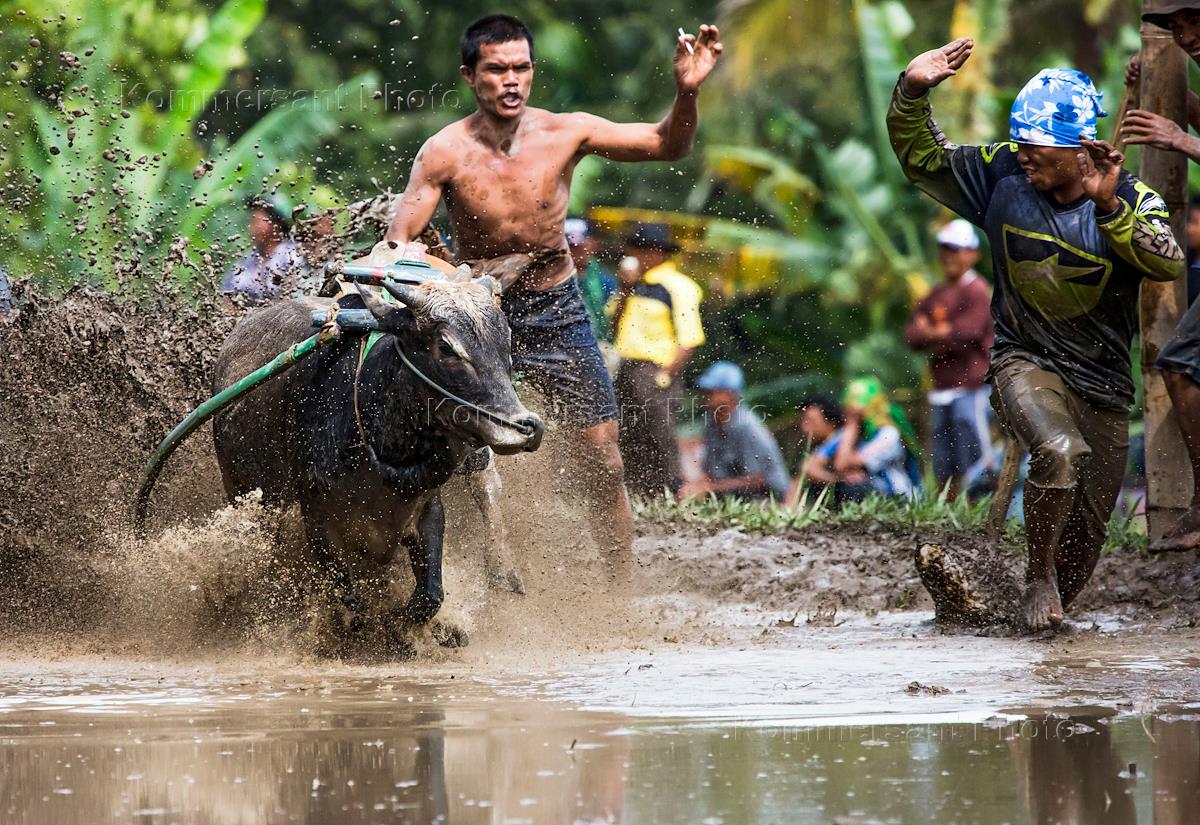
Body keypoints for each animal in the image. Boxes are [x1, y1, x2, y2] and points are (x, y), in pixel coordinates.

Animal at [212, 276, 544, 652]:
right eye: (446, 347)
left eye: (506, 344)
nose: (523, 428)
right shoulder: (318, 522)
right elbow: (352, 605)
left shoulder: (427, 509)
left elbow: (430, 595)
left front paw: (412, 628)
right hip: (250, 498)